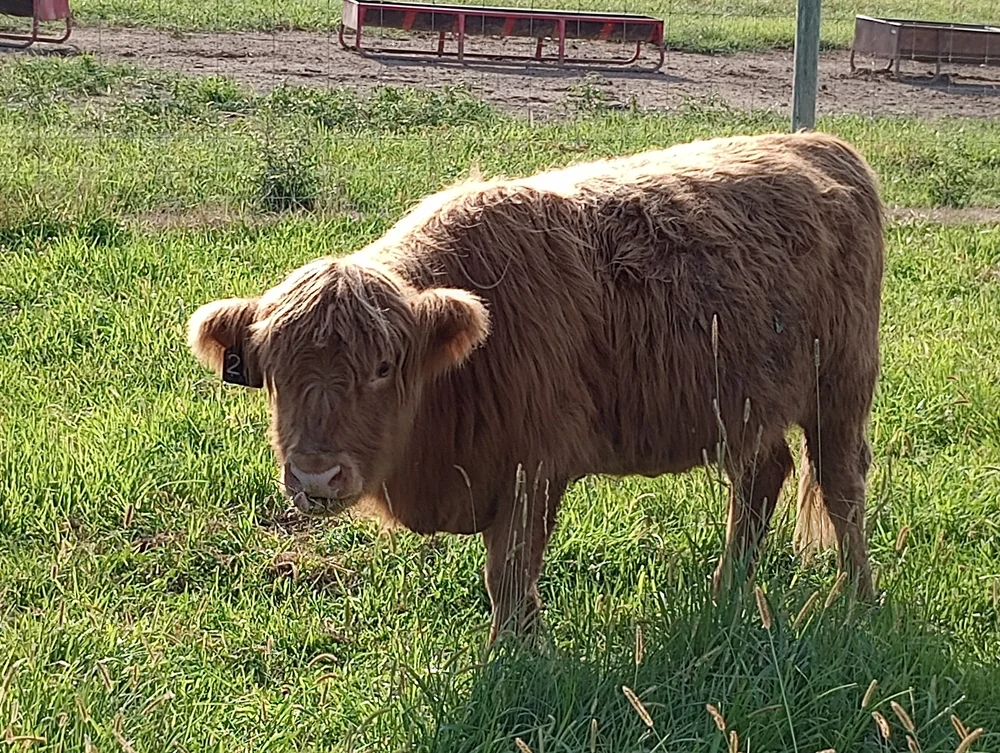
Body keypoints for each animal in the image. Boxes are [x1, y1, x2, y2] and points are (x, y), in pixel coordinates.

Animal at [187, 130, 884, 644]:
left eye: (383, 367)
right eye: (276, 372)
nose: (315, 476)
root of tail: (817, 145)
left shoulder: (533, 472)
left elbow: (509, 576)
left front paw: (512, 659)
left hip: (840, 390)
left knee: (842, 489)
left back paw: (856, 601)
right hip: (743, 405)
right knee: (762, 475)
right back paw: (727, 590)